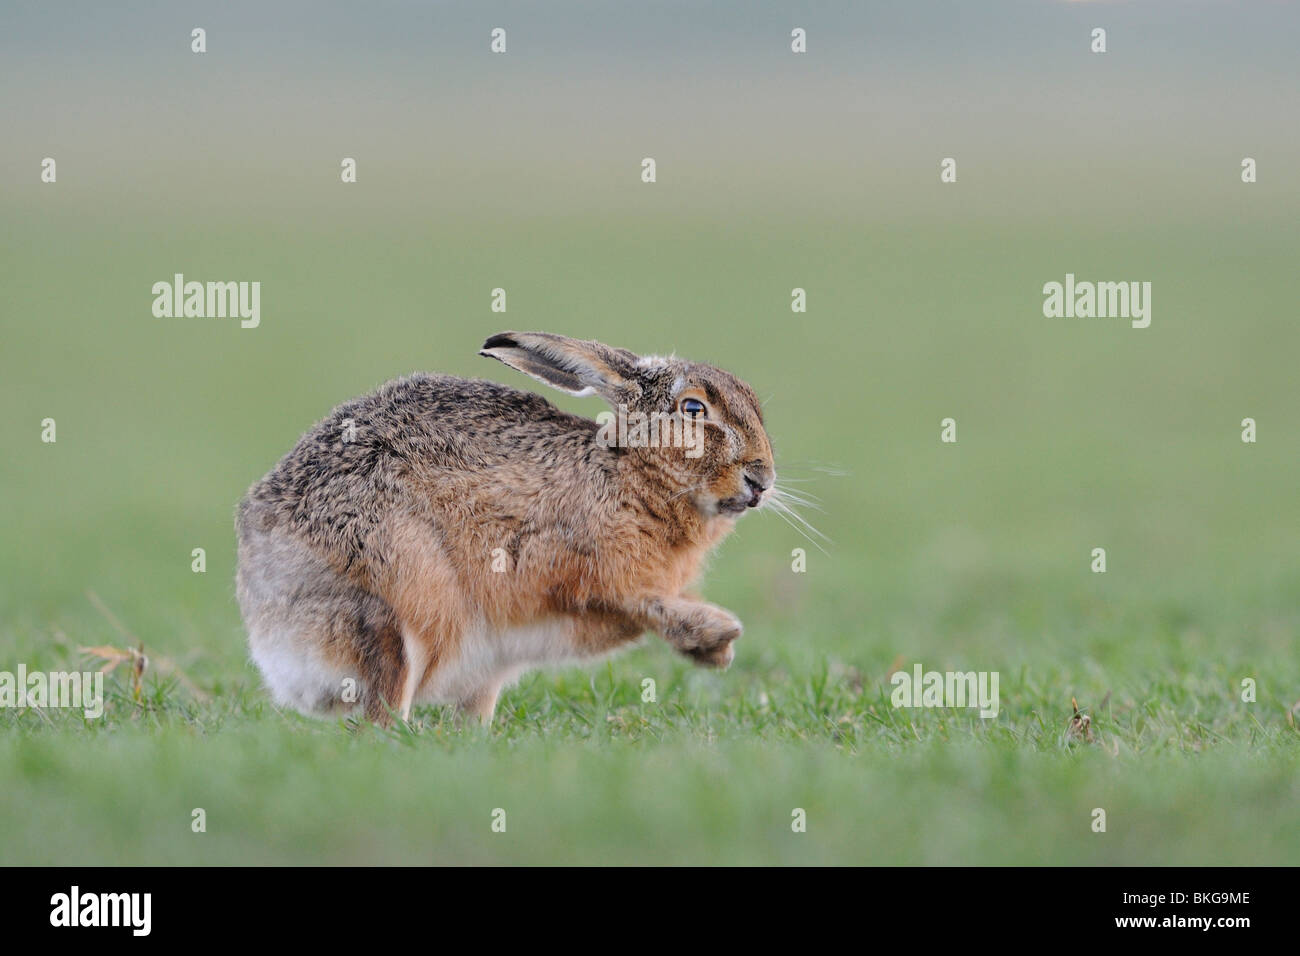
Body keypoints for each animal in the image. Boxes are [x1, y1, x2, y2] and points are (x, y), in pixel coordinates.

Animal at [235, 331, 775, 725]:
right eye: (693, 409)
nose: (762, 479)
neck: (634, 474)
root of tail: (269, 635)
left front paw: (717, 650)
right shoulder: (585, 571)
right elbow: (638, 602)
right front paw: (717, 634)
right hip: (400, 608)